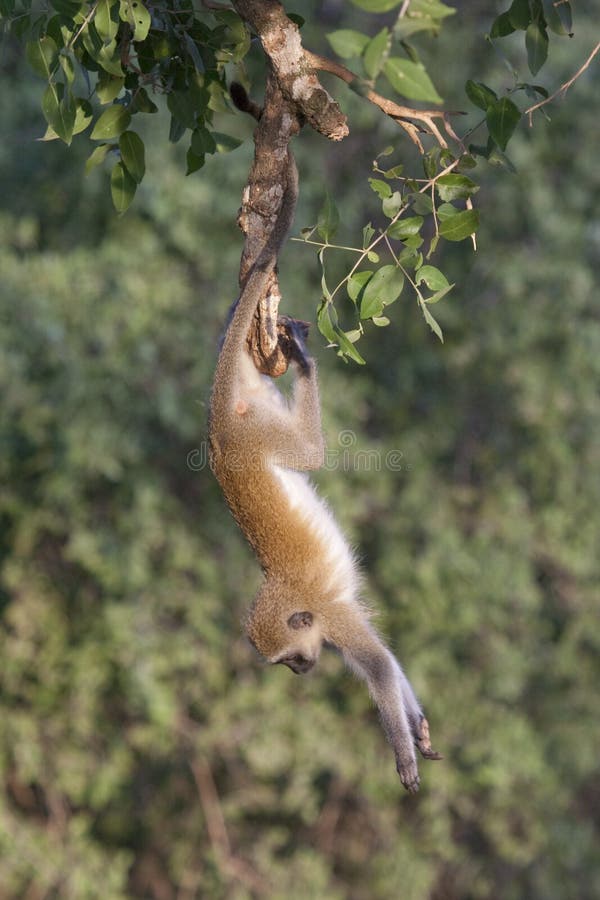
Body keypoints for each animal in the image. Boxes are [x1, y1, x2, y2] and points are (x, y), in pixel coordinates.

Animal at [208, 92, 441, 793]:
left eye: (288, 659)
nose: (302, 672)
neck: (303, 608)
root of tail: (217, 434)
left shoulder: (332, 620)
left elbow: (381, 667)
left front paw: (401, 749)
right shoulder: (338, 624)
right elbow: (385, 663)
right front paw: (416, 728)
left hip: (254, 434)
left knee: (308, 453)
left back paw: (307, 366)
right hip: (253, 413)